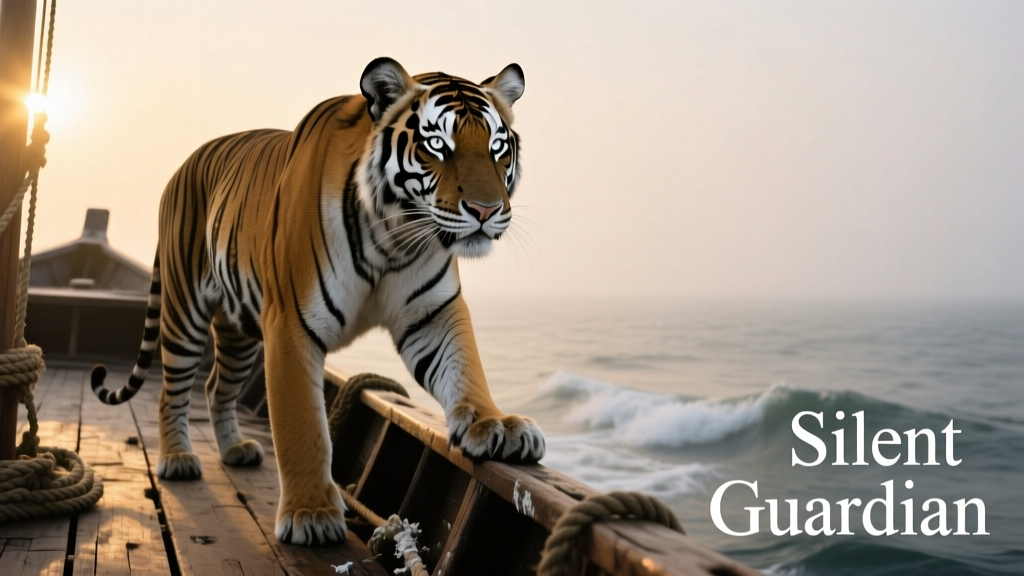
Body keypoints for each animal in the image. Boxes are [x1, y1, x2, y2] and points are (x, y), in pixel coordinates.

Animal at [90, 57, 545, 546]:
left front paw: (495, 426)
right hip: (183, 310)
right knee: (171, 388)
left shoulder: (433, 313)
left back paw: (235, 450)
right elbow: (303, 423)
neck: (394, 238)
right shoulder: (290, 322)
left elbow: (464, 368)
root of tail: (185, 164)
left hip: (240, 330)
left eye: (498, 148)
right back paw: (177, 458)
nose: (486, 211)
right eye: (437, 145)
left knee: (216, 387)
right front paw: (310, 513)